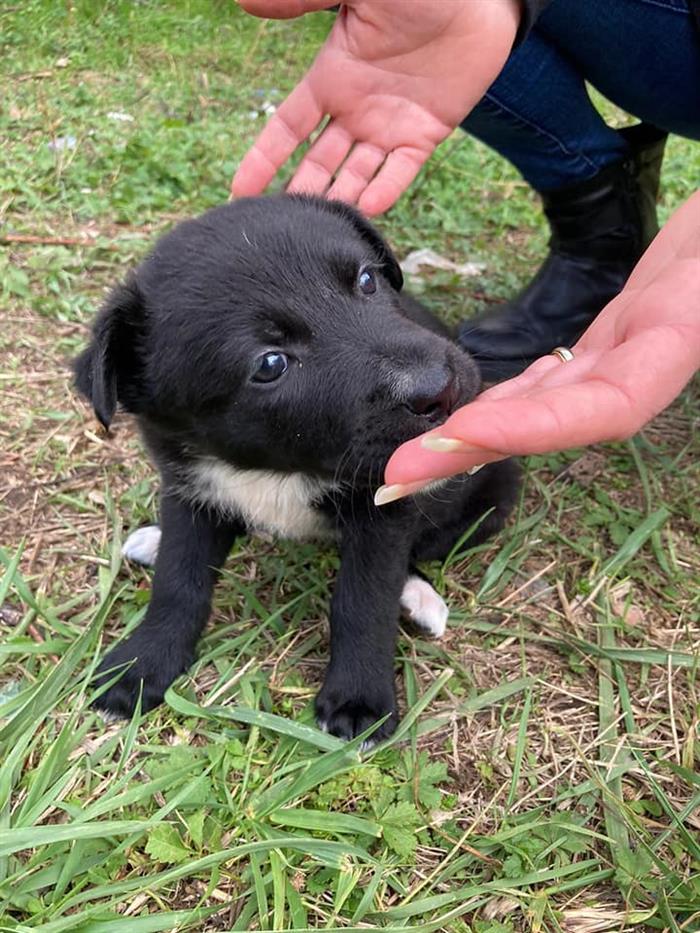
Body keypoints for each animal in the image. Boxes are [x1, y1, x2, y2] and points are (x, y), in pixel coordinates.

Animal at [75, 197, 520, 744]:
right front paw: (141, 664)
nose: (440, 388)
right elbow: (179, 582)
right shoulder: (190, 489)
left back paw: (418, 595)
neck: (276, 467)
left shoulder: (383, 511)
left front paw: (359, 697)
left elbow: (363, 599)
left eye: (367, 281)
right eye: (270, 364)